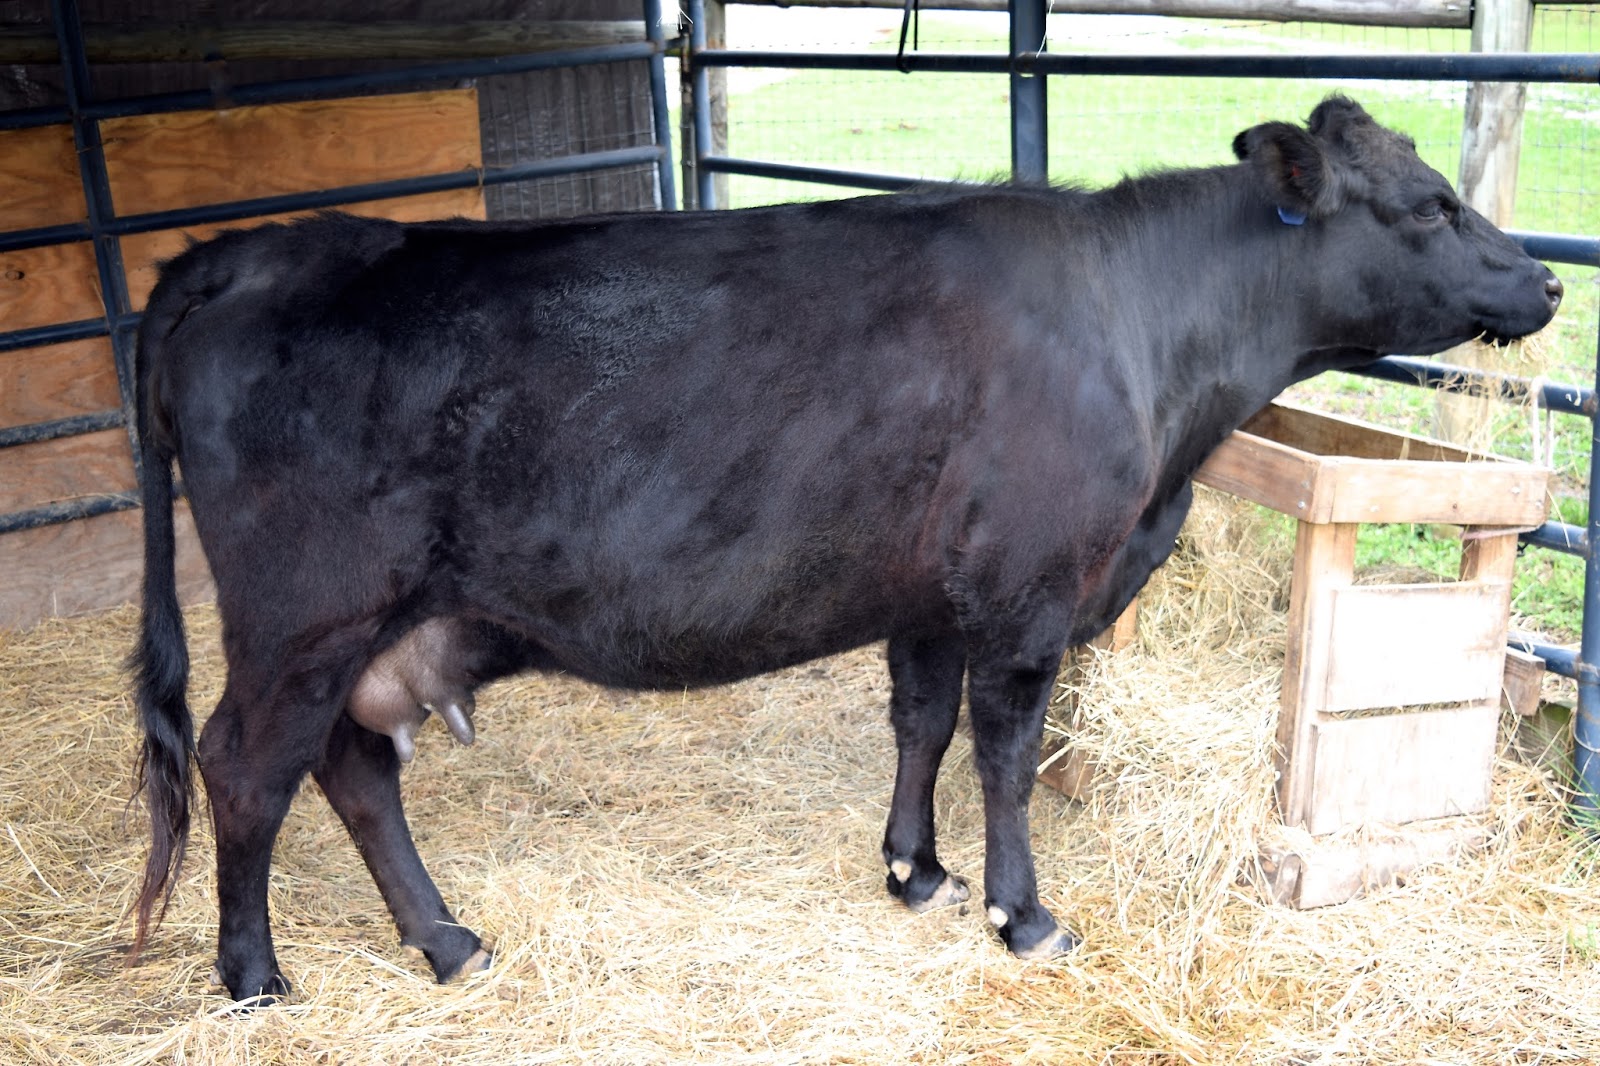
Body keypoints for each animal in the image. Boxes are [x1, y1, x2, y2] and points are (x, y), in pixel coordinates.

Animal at [128, 95, 1562, 1003]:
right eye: (1429, 206)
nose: (1547, 280)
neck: (1141, 336)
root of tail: (251, 252)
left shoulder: (926, 592)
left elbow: (919, 723)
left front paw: (913, 870)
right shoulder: (1029, 594)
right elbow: (1003, 755)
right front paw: (1023, 915)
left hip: (367, 631)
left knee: (354, 771)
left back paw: (445, 941)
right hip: (306, 615)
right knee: (245, 767)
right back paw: (254, 975)